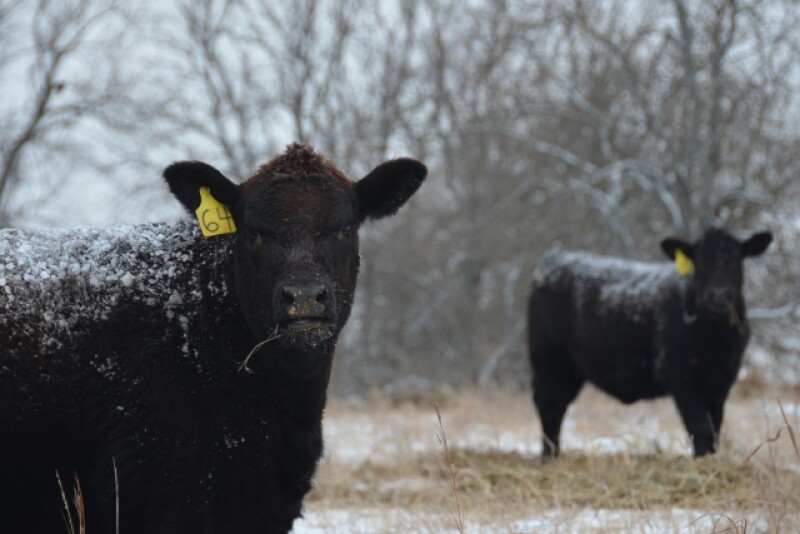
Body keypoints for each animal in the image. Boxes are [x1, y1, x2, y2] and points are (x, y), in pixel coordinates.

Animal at [528, 228, 772, 459]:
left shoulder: (722, 379)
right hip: (549, 360)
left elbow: (715, 427)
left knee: (558, 405)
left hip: (571, 370)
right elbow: (699, 425)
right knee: (549, 405)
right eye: (699, 263)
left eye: (736, 260)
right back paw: (549, 457)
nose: (718, 296)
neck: (715, 339)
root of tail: (555, 259)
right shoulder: (679, 373)